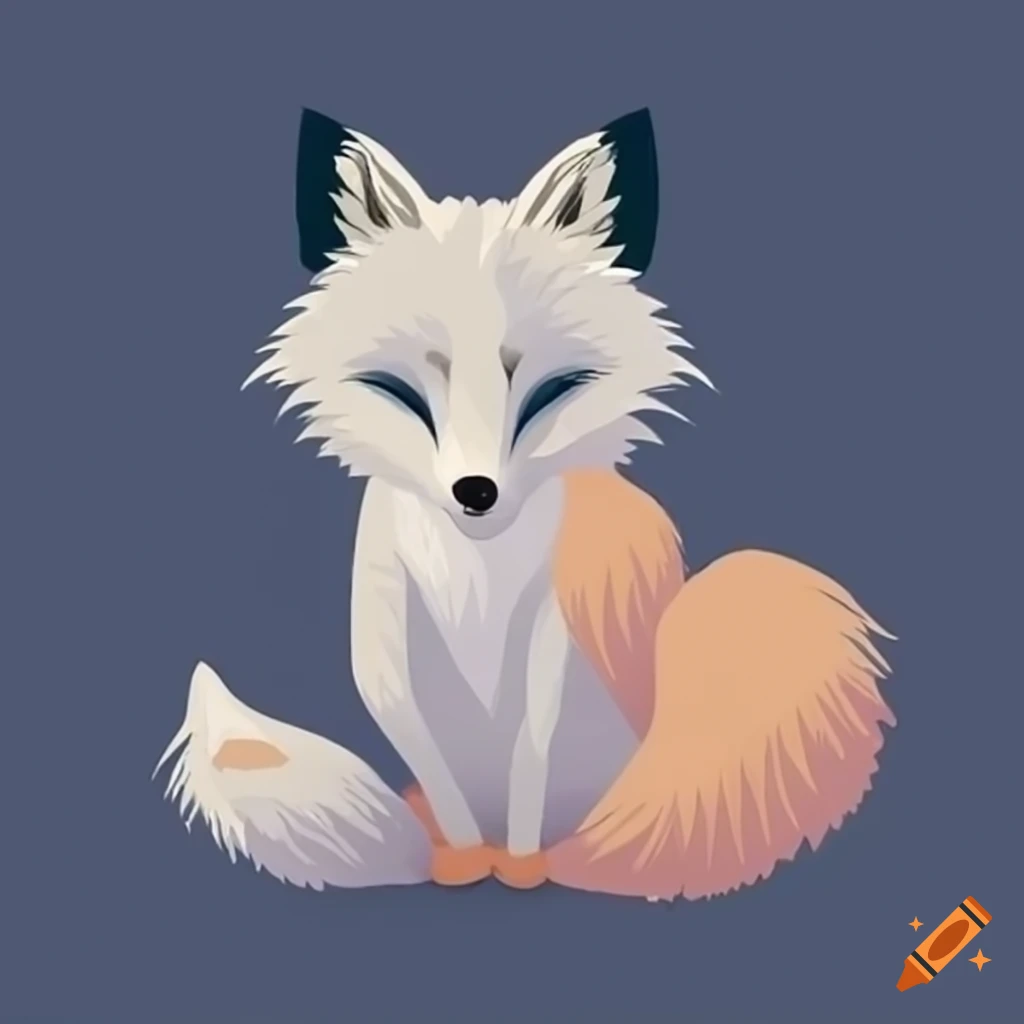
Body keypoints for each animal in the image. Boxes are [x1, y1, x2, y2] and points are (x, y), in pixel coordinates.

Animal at [155, 107, 896, 900]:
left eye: (551, 389)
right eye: (401, 391)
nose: (475, 492)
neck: (473, 576)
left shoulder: (553, 640)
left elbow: (528, 756)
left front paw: (519, 864)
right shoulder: (382, 651)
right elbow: (420, 747)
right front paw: (460, 861)